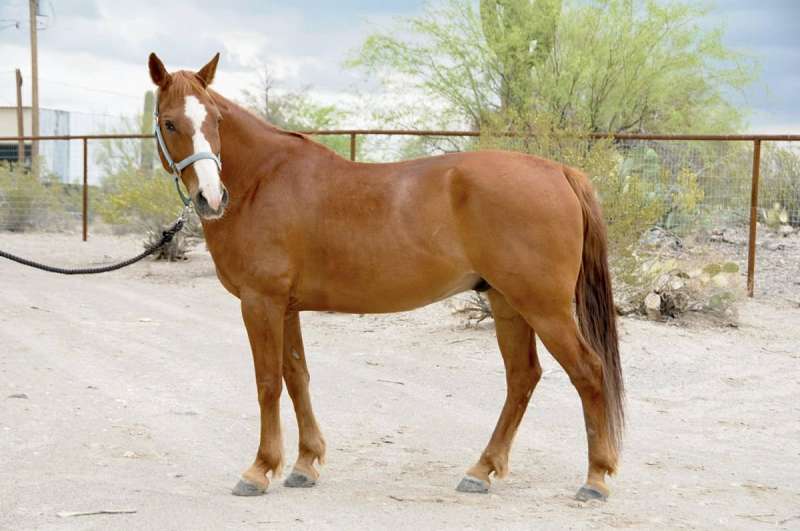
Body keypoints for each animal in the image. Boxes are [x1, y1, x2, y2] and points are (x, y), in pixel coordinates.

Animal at [147, 52, 624, 502]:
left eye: (216, 120)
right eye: (170, 123)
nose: (212, 198)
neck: (264, 180)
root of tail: (559, 171)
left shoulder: (260, 302)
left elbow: (268, 383)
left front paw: (260, 470)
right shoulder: (285, 306)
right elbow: (296, 377)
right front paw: (305, 464)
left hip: (543, 307)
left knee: (587, 372)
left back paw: (595, 479)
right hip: (507, 302)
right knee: (522, 377)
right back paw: (481, 471)